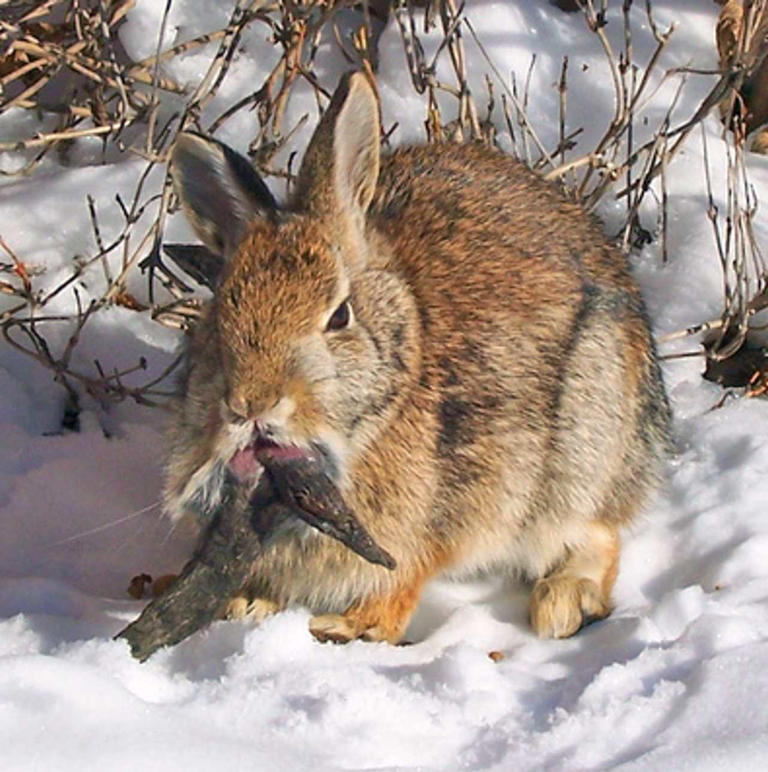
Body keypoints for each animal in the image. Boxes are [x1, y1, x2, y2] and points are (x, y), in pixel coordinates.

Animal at [163, 71, 670, 644]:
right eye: (218, 314)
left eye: (339, 317)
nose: (252, 405)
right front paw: (248, 603)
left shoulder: (439, 520)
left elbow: (403, 579)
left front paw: (350, 628)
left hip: (585, 442)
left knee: (597, 533)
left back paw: (564, 602)